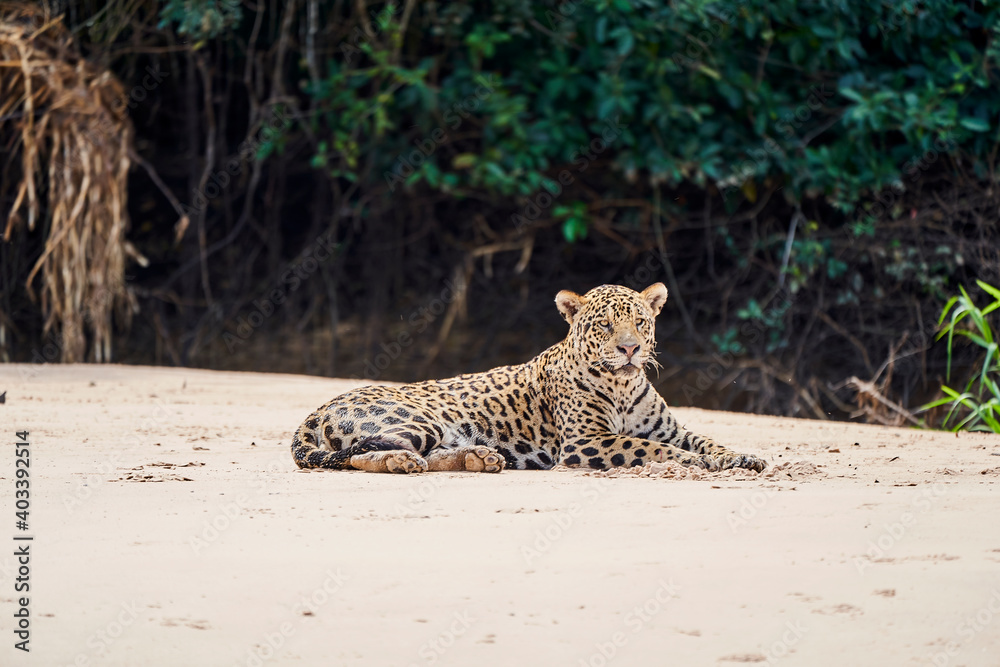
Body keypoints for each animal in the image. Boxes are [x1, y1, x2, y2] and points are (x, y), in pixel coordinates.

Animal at [290, 283, 767, 474]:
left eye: (640, 322)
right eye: (605, 326)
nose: (630, 349)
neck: (623, 386)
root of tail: (317, 408)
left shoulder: (672, 428)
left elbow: (707, 441)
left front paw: (741, 458)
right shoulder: (585, 443)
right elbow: (649, 449)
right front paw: (695, 464)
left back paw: (478, 458)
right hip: (416, 419)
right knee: (358, 455)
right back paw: (401, 463)